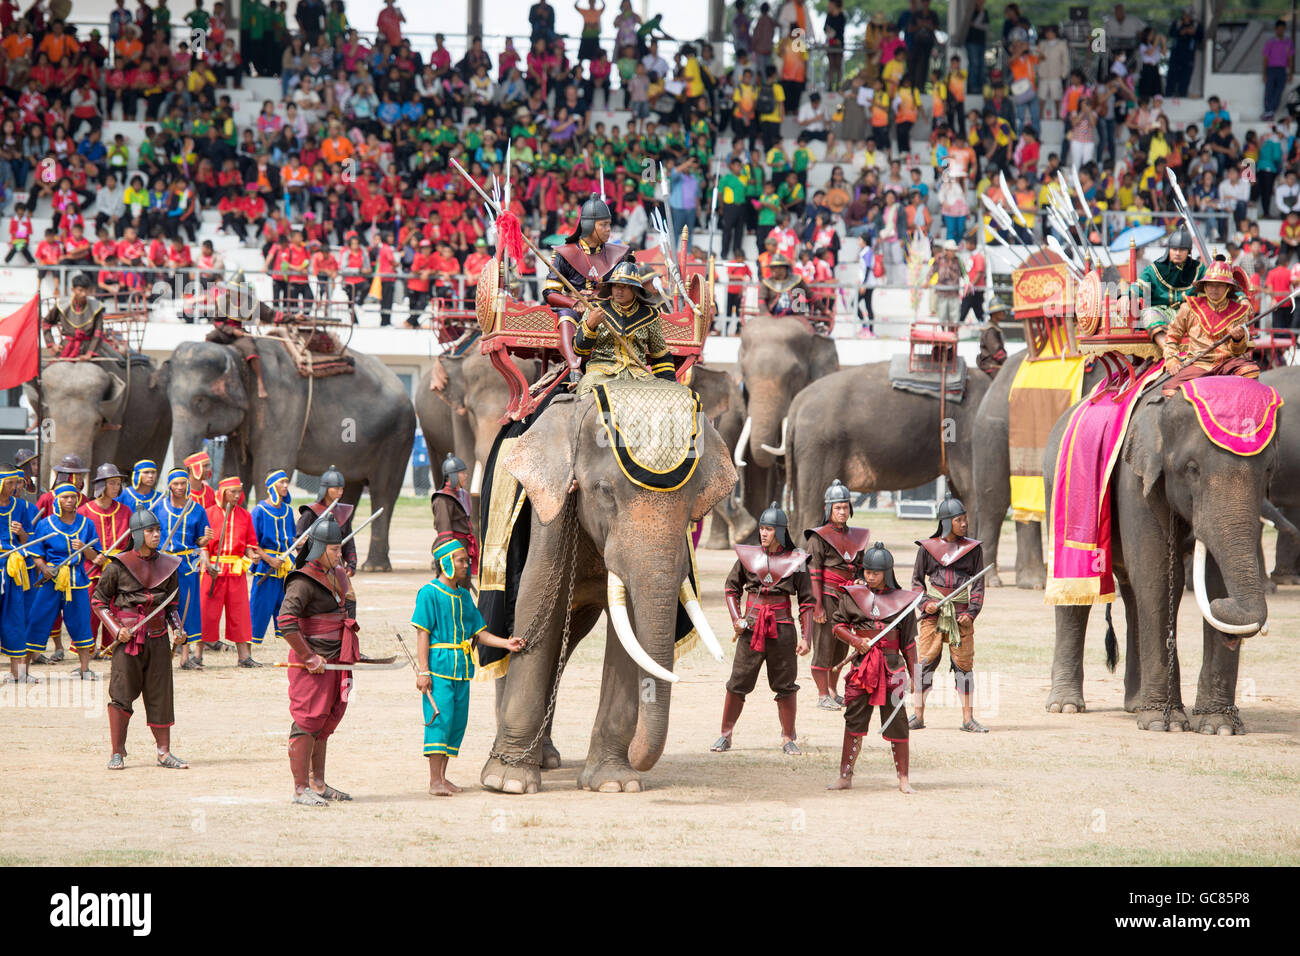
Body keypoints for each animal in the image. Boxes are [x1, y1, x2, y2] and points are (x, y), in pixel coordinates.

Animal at [159, 337, 414, 571]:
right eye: (168, 400)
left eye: (201, 401)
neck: (236, 351)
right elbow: (235, 470)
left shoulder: (280, 405)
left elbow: (270, 465)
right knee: (349, 490)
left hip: (397, 436)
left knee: (384, 490)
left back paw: (374, 567)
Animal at [481, 389, 736, 794]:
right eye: (603, 491)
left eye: (695, 498)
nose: (637, 753)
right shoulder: (552, 512)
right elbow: (535, 607)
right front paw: (506, 782)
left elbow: (629, 633)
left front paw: (615, 784)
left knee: (566, 643)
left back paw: (547, 757)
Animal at [1043, 384, 1277, 734]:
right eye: (1192, 469)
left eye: (1269, 471)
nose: (1232, 625)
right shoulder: (1136, 482)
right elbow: (1160, 575)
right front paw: (1163, 724)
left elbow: (1211, 579)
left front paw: (1218, 727)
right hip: (1059, 490)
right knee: (1077, 594)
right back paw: (1066, 706)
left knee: (1132, 596)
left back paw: (1135, 704)